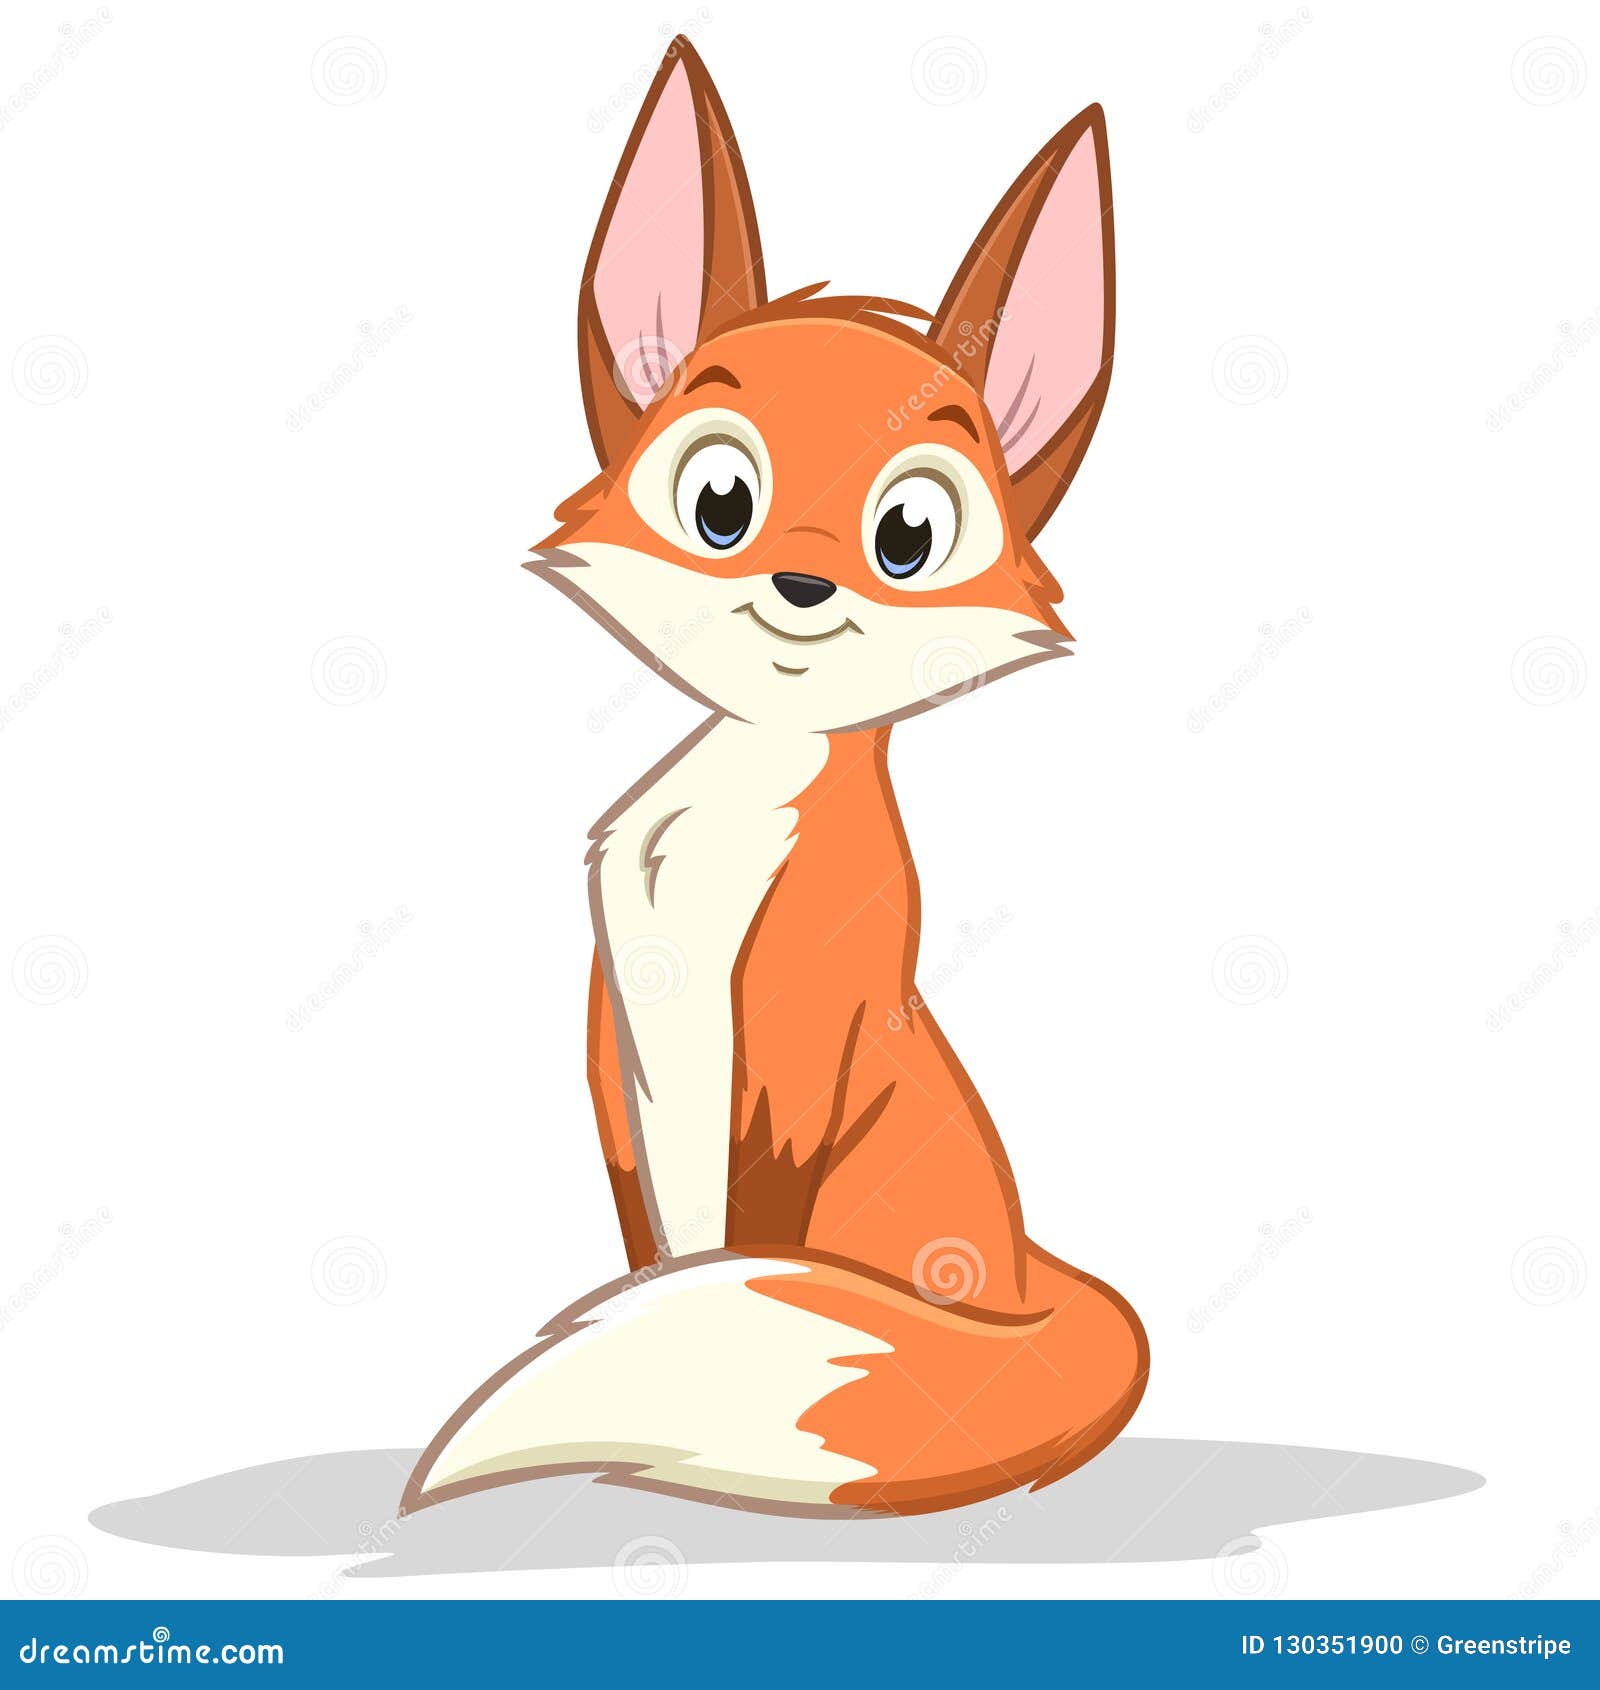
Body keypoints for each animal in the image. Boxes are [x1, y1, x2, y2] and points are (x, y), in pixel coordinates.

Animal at [400, 38, 1147, 1520]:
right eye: (721, 505)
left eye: (907, 533)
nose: (802, 586)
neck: (727, 818)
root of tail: (1033, 1277)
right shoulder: (624, 1041)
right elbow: (659, 1249)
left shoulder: (792, 1048)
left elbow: (732, 1251)